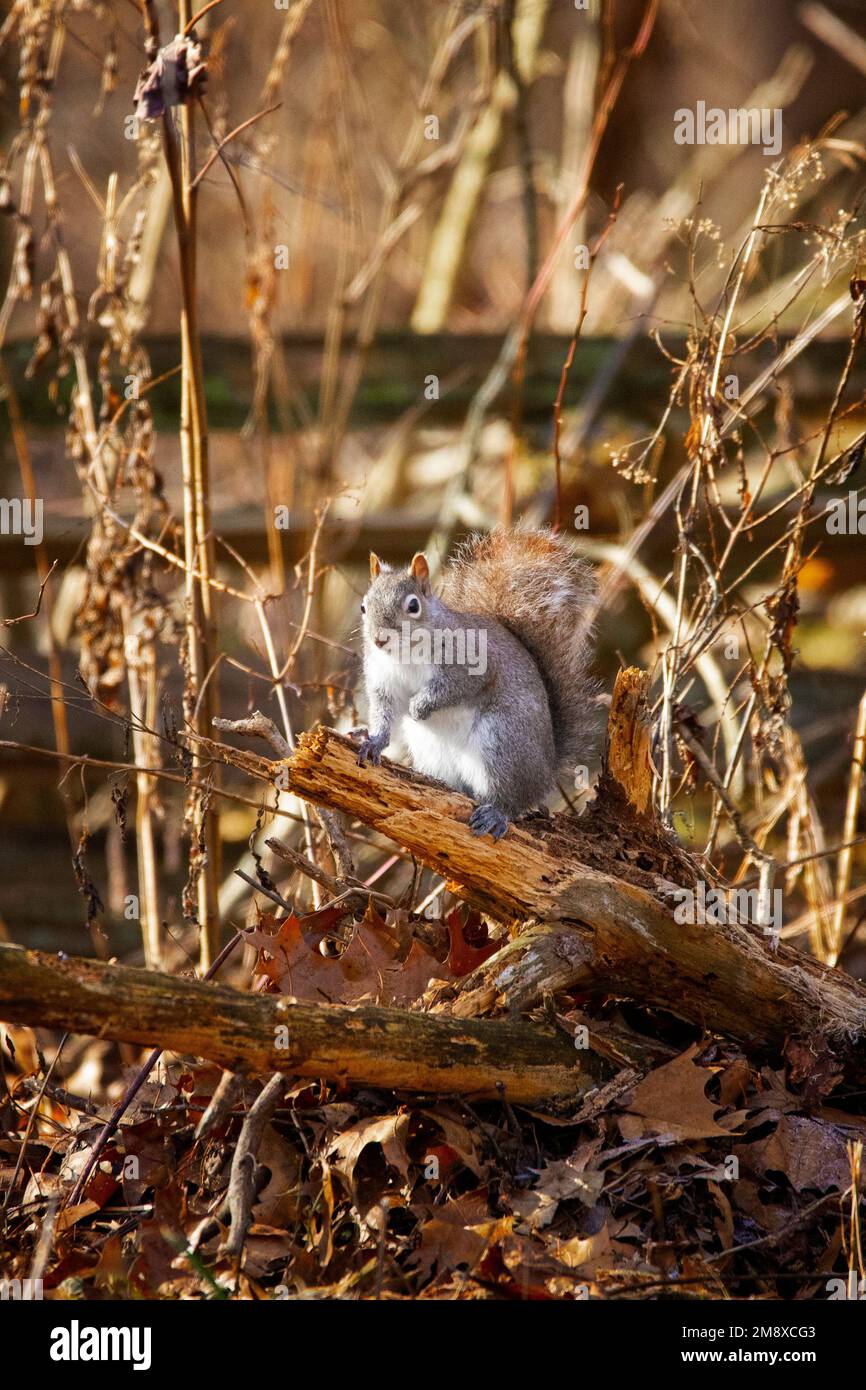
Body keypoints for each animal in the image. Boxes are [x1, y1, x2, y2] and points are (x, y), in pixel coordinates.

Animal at [352, 527, 598, 841]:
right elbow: (383, 713)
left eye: (413, 606)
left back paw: (497, 814)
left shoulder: (473, 665)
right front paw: (373, 741)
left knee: (513, 799)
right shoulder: (383, 680)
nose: (379, 639)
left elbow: (452, 689)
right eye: (363, 606)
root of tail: (548, 769)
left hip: (502, 740)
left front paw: (420, 707)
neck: (404, 653)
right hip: (434, 752)